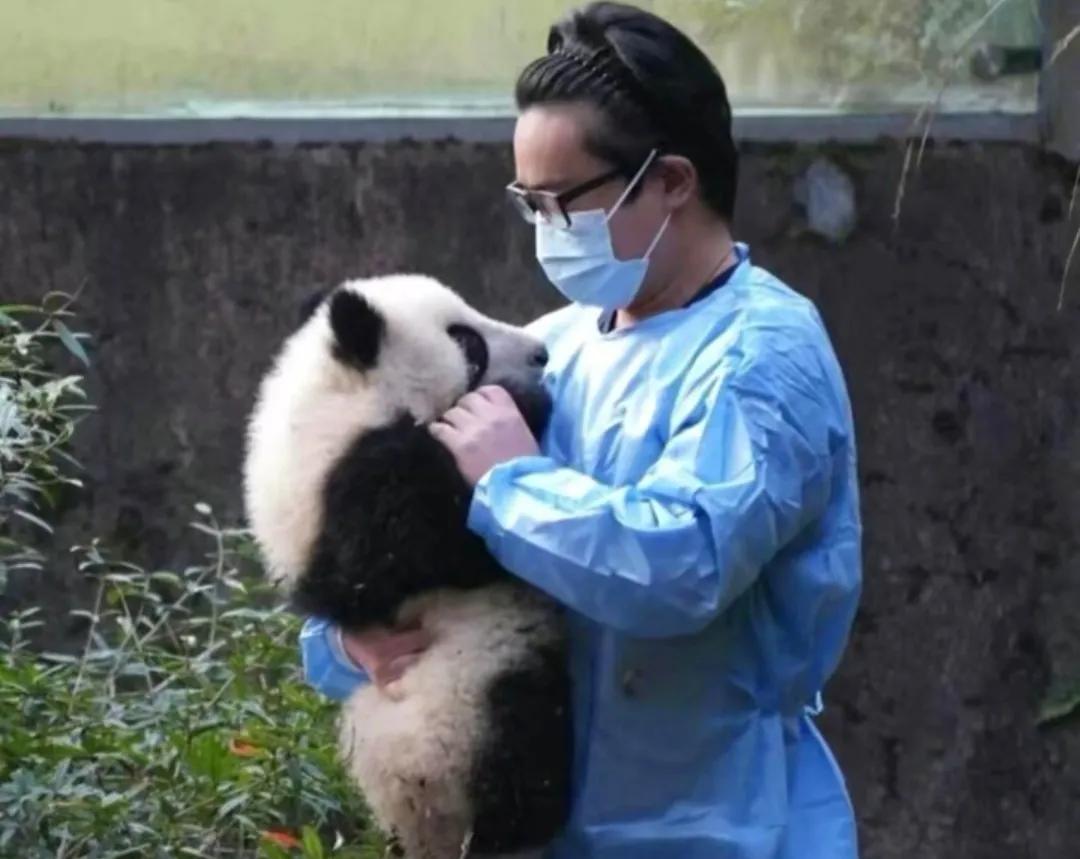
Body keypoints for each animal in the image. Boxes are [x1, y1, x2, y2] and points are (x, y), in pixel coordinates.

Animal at [242, 274, 572, 859]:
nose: (541, 353)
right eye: (467, 341)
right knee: (522, 752)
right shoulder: (356, 488)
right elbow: (442, 542)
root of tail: (430, 822)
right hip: (471, 701)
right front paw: (520, 405)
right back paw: (519, 825)